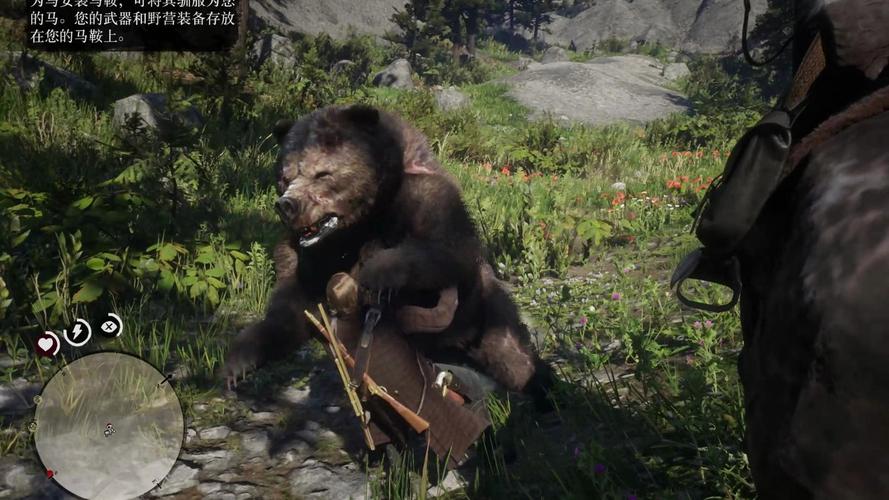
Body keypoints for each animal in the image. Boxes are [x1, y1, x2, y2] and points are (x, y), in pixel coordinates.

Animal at [223, 104, 552, 404]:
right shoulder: (310, 254)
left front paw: (377, 273)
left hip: (484, 312)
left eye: (322, 173)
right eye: (285, 175)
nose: (287, 205)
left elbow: (447, 250)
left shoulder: (426, 198)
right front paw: (240, 360)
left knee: (509, 351)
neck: (362, 219)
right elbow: (292, 301)